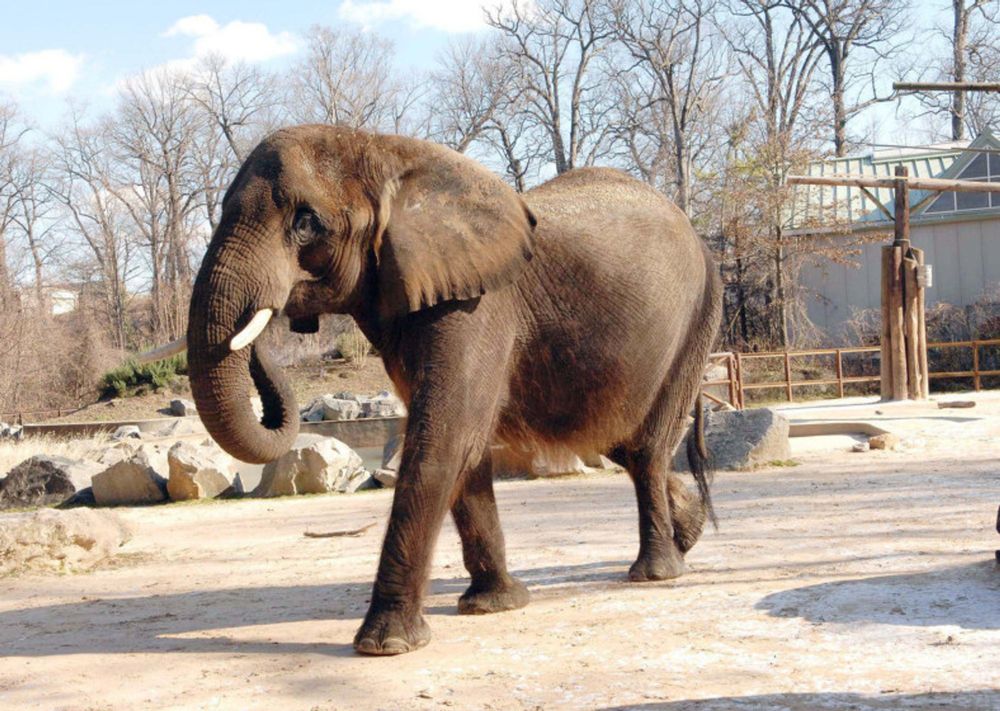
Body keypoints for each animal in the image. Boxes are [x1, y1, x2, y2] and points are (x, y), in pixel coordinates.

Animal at [177, 124, 722, 655]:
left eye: (306, 222)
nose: (275, 317)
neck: (384, 152)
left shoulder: (478, 303)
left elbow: (446, 435)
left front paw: (386, 645)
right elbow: (467, 445)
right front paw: (494, 605)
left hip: (696, 321)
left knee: (645, 447)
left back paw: (656, 573)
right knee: (620, 441)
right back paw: (688, 532)